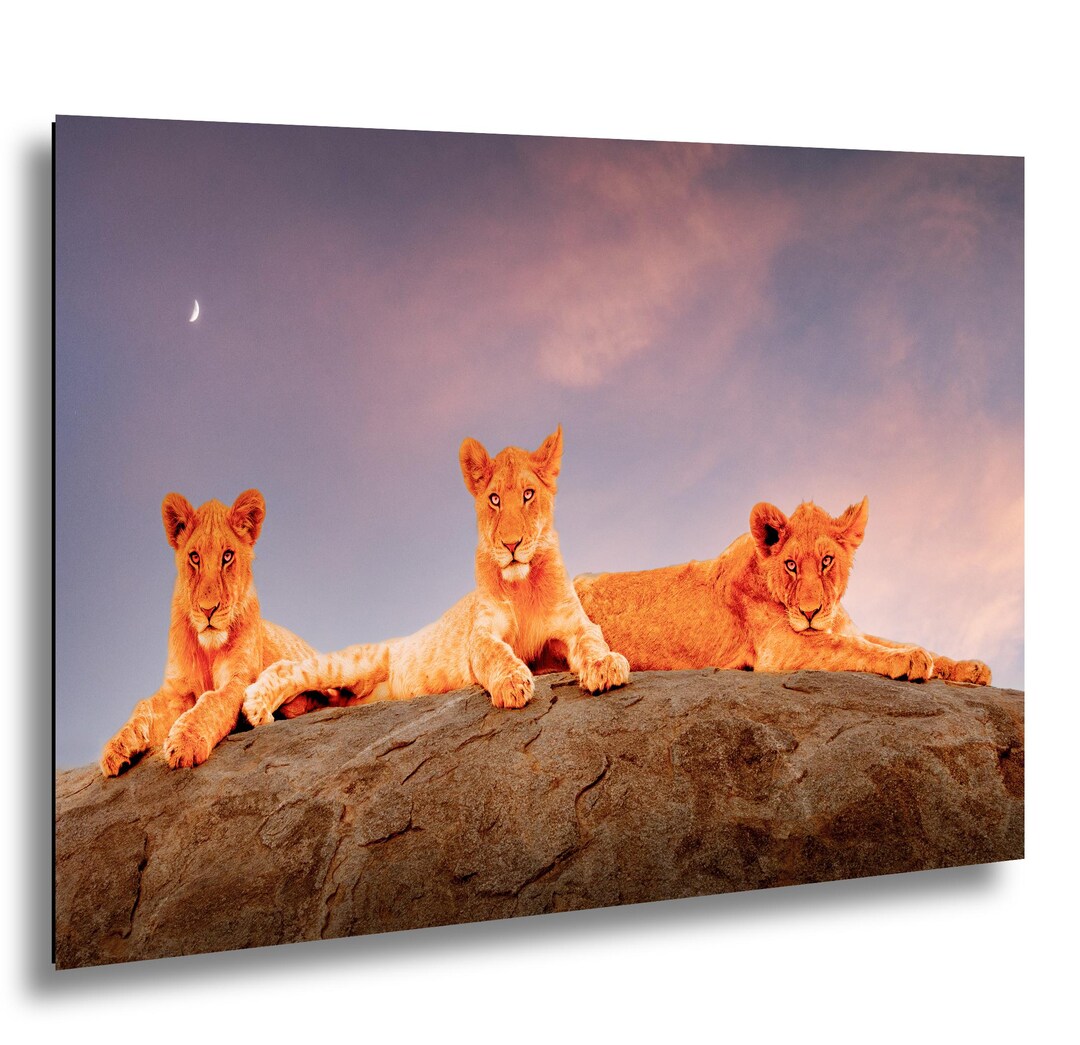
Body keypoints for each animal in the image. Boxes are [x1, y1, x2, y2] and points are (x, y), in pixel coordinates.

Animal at [99, 489, 333, 777]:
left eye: (228, 556)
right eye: (194, 557)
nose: (208, 609)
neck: (207, 648)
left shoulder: (240, 680)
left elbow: (213, 701)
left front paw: (185, 741)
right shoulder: (177, 692)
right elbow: (144, 707)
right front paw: (116, 747)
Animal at [242, 427, 630, 725]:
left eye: (528, 494)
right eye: (494, 500)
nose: (511, 544)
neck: (523, 584)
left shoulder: (574, 623)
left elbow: (592, 640)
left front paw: (605, 665)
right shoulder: (481, 633)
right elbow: (497, 652)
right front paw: (512, 683)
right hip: (356, 662)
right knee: (289, 669)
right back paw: (257, 706)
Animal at [574, 497, 991, 685]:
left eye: (826, 561)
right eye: (790, 565)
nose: (809, 612)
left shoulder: (844, 625)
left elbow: (891, 639)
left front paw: (969, 667)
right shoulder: (782, 647)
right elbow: (851, 648)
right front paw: (909, 660)